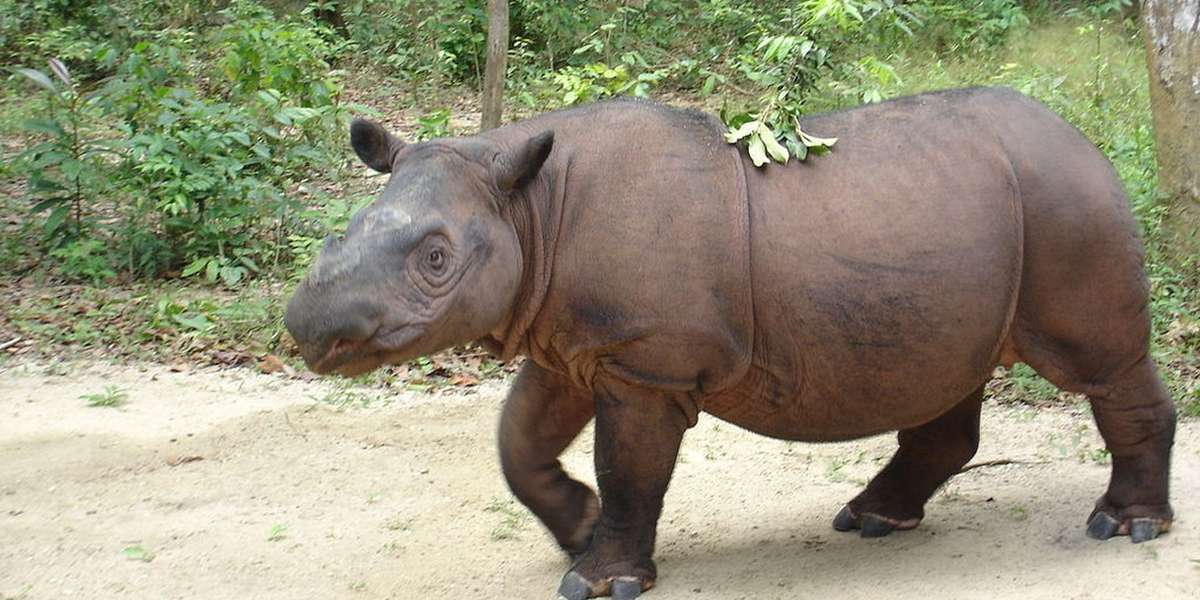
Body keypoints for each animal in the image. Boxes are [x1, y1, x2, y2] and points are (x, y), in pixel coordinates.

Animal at [284, 87, 1175, 599]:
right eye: (342, 233)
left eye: (436, 259)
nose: (308, 329)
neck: (526, 206)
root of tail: (1082, 137)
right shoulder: (571, 342)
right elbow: (519, 443)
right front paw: (578, 527)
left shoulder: (644, 362)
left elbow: (630, 467)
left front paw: (599, 581)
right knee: (946, 373)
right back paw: (872, 522)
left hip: (1067, 201)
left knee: (1101, 366)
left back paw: (1125, 529)